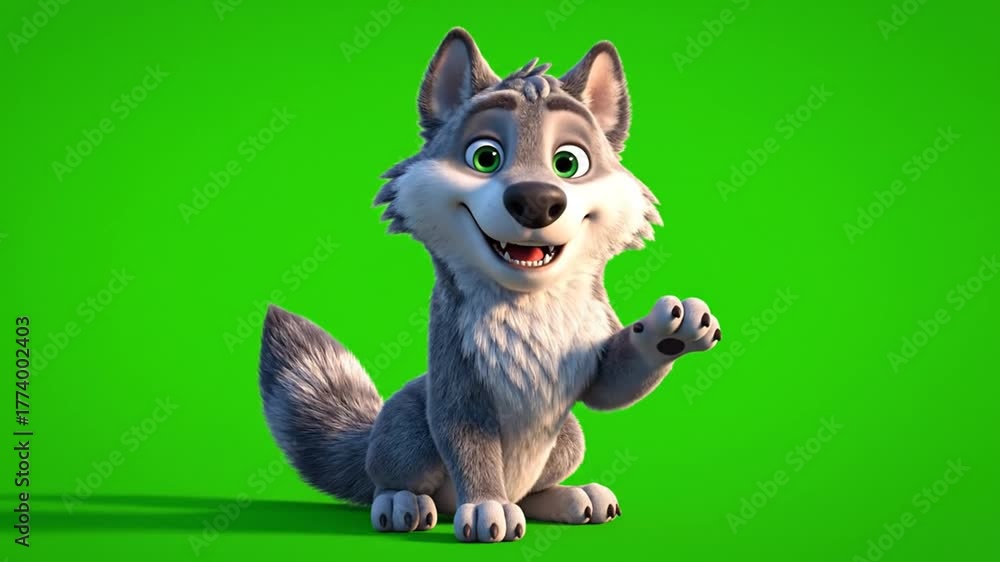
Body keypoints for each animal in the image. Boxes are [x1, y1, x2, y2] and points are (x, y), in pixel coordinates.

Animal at [259, 28, 722, 543]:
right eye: (485, 157)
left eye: (569, 162)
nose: (537, 201)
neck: (530, 302)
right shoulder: (456, 376)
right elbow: (469, 440)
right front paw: (485, 507)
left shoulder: (591, 340)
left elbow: (610, 389)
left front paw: (670, 334)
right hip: (404, 429)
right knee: (386, 474)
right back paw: (403, 502)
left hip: (569, 438)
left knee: (537, 483)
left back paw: (569, 497)